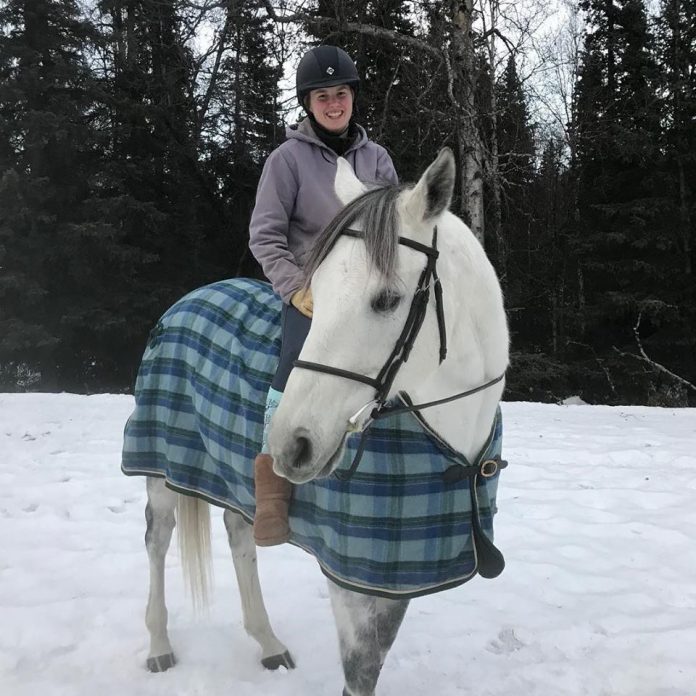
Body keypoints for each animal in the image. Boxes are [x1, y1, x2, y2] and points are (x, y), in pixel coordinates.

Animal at [121, 147, 509, 696]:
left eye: (387, 299)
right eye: (317, 293)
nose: (289, 446)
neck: (449, 440)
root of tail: (185, 301)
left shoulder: (395, 573)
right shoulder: (351, 574)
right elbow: (360, 671)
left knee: (239, 533)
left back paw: (267, 642)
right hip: (159, 463)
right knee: (157, 539)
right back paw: (159, 644)